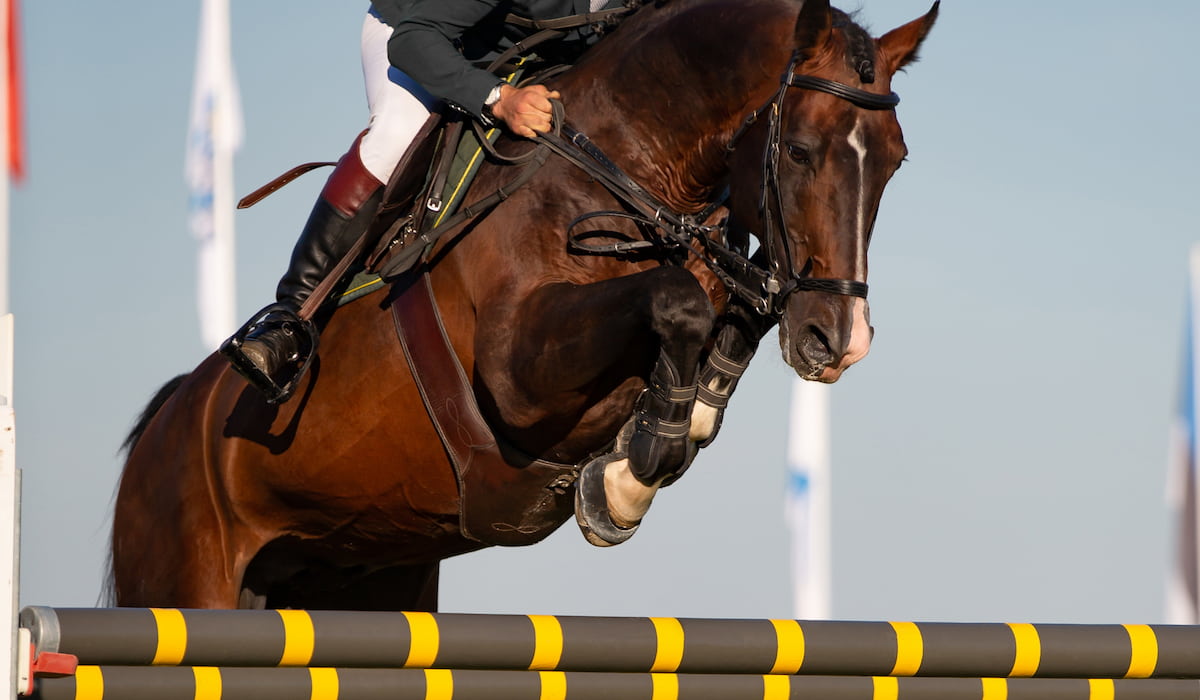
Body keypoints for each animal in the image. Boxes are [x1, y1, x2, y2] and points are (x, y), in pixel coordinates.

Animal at [111, 0, 938, 610]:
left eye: (895, 161)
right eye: (799, 150)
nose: (839, 340)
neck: (626, 163)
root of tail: (164, 423)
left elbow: (737, 312)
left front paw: (685, 417)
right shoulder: (517, 375)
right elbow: (676, 304)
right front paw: (627, 480)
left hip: (363, 573)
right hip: (186, 578)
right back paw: (271, 343)